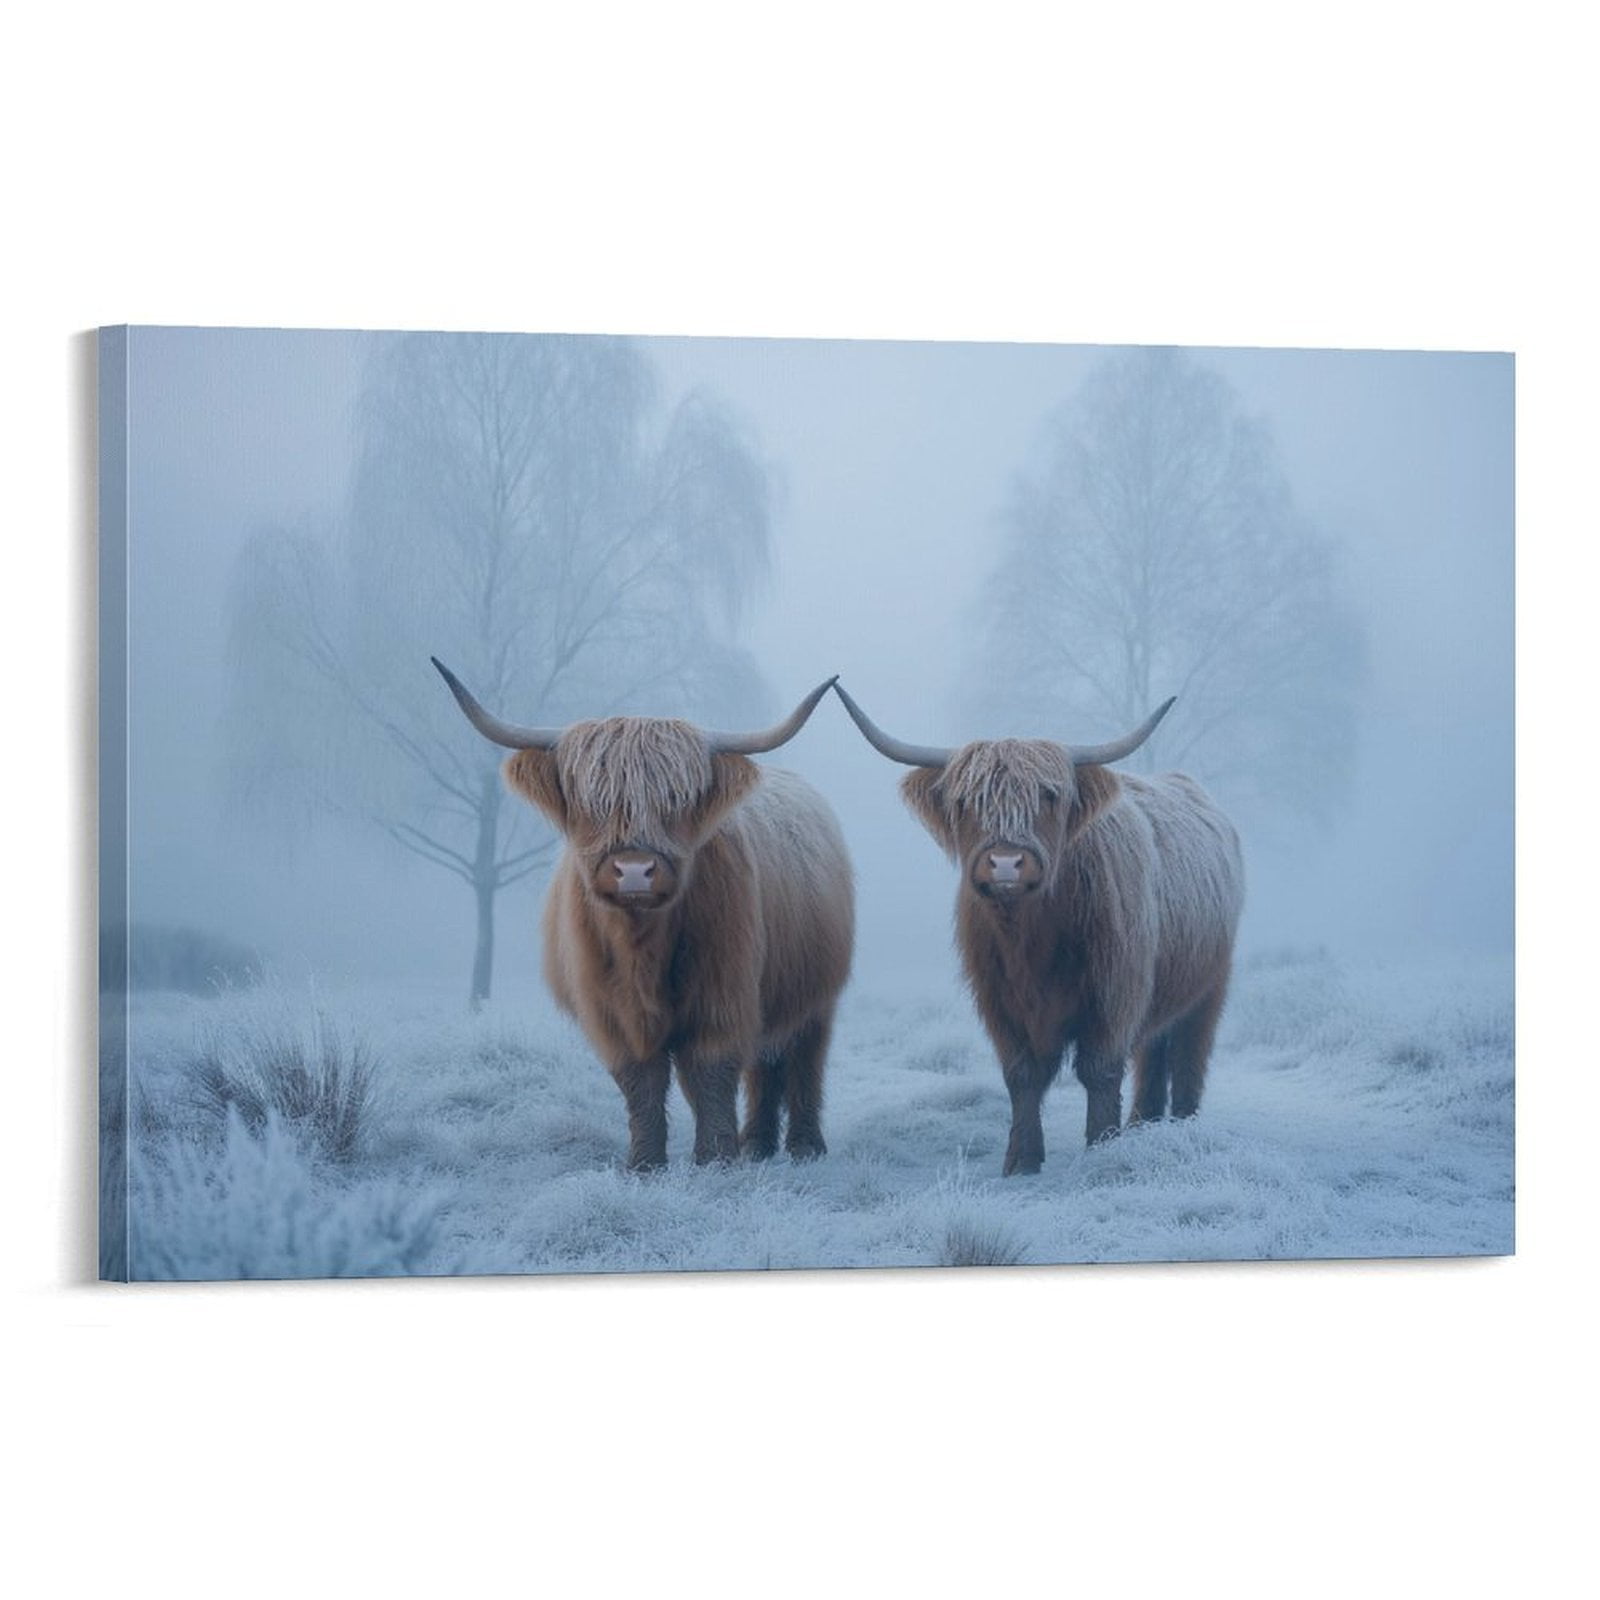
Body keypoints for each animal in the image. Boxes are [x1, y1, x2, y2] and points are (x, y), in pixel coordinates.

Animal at [433, 659, 854, 1171]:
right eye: (591, 800)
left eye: (677, 798)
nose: (634, 870)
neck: (642, 946)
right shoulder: (609, 1010)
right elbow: (641, 1080)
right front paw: (646, 1165)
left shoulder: (725, 993)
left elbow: (711, 1070)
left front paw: (715, 1161)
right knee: (762, 1066)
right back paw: (756, 1145)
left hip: (814, 995)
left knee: (803, 1059)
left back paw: (802, 1146)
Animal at [832, 682, 1243, 1175]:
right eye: (966, 802)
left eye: (1048, 796)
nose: (1006, 862)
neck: (1031, 937)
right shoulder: (998, 1000)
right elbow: (1022, 1074)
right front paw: (1021, 1160)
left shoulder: (1115, 990)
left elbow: (1099, 1070)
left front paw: (1101, 1151)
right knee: (1152, 1051)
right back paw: (1144, 1125)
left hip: (1210, 984)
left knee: (1188, 1053)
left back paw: (1182, 1125)